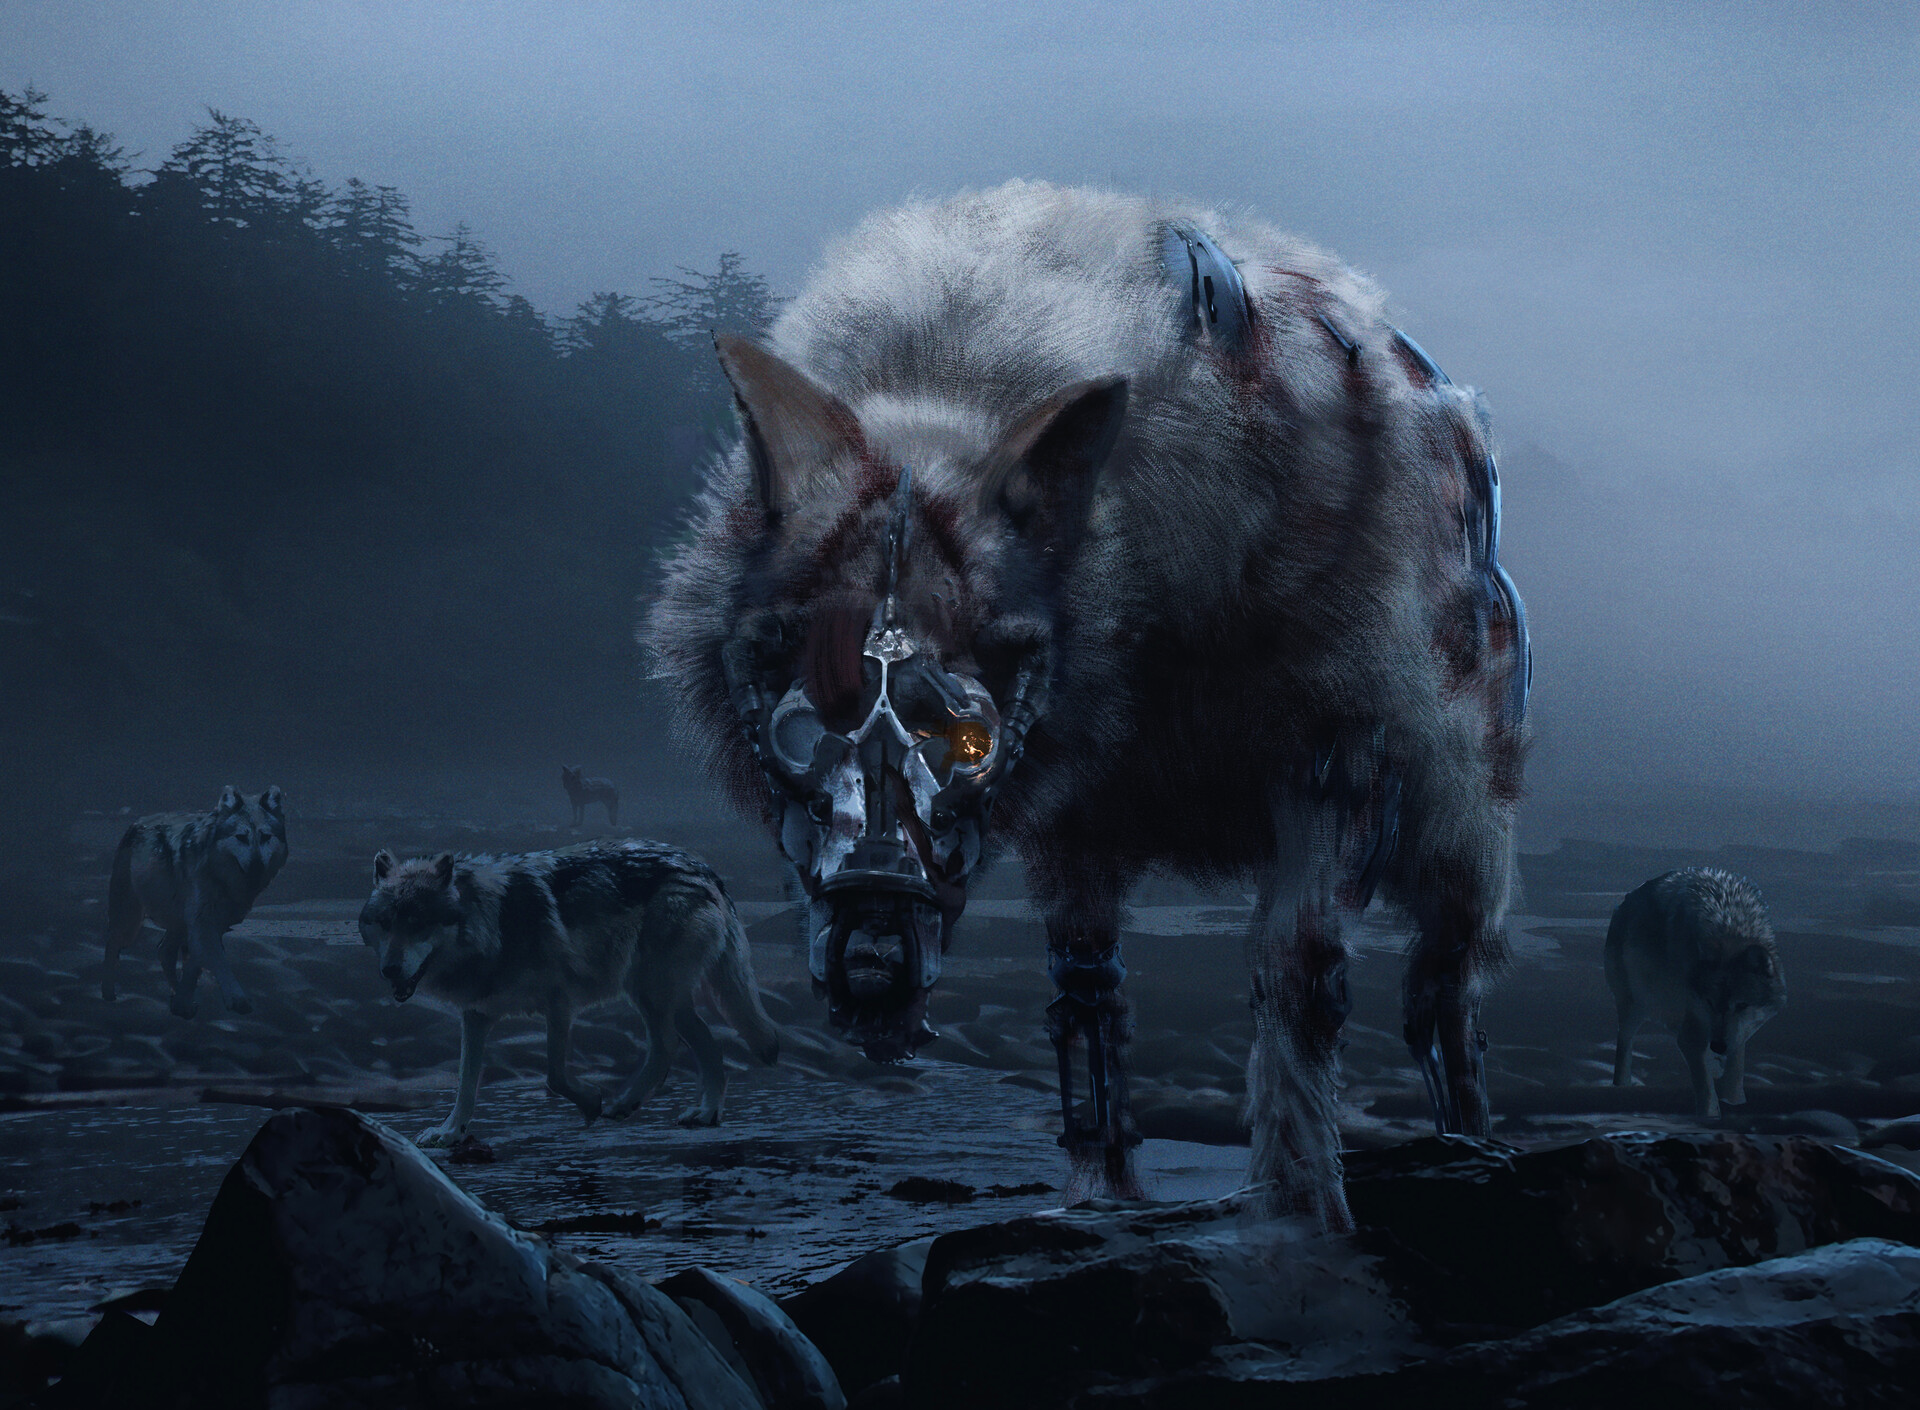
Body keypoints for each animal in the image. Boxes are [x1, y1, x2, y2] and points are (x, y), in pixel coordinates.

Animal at [101, 786, 288, 1018]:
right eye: (241, 837)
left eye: (265, 837)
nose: (256, 868)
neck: (220, 877)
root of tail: (137, 823)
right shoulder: (202, 923)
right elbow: (218, 961)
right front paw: (237, 999)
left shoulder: (214, 924)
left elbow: (194, 965)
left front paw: (182, 1004)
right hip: (130, 920)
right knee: (113, 943)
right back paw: (108, 994)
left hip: (179, 922)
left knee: (164, 950)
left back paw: (176, 994)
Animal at [357, 838, 781, 1145]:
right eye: (386, 923)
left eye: (418, 924)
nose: (388, 970)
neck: (495, 924)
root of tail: (702, 867)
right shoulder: (476, 1015)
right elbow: (465, 1084)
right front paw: (450, 1134)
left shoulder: (560, 1002)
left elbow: (554, 1076)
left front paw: (591, 1102)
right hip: (657, 996)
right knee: (703, 1044)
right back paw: (702, 1112)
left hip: (654, 992)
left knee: (670, 1046)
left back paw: (630, 1104)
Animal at [647, 183, 1528, 1229]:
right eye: (802, 720)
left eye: (967, 738)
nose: (872, 969)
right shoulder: (1076, 819)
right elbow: (1086, 995)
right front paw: (1099, 1198)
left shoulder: (1327, 762)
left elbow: (1298, 973)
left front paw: (1297, 1200)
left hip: (1461, 826)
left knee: (1444, 981)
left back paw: (1470, 1143)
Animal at [1608, 867, 1785, 1118]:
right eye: (1710, 1003)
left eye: (1741, 1005)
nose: (1718, 1046)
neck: (1730, 930)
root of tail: (1627, 898)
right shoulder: (1692, 1032)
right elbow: (1706, 1089)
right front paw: (1710, 1119)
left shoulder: (1738, 1034)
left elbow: (1735, 1075)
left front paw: (1736, 1105)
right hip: (1636, 1005)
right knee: (1625, 1042)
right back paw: (1621, 1087)